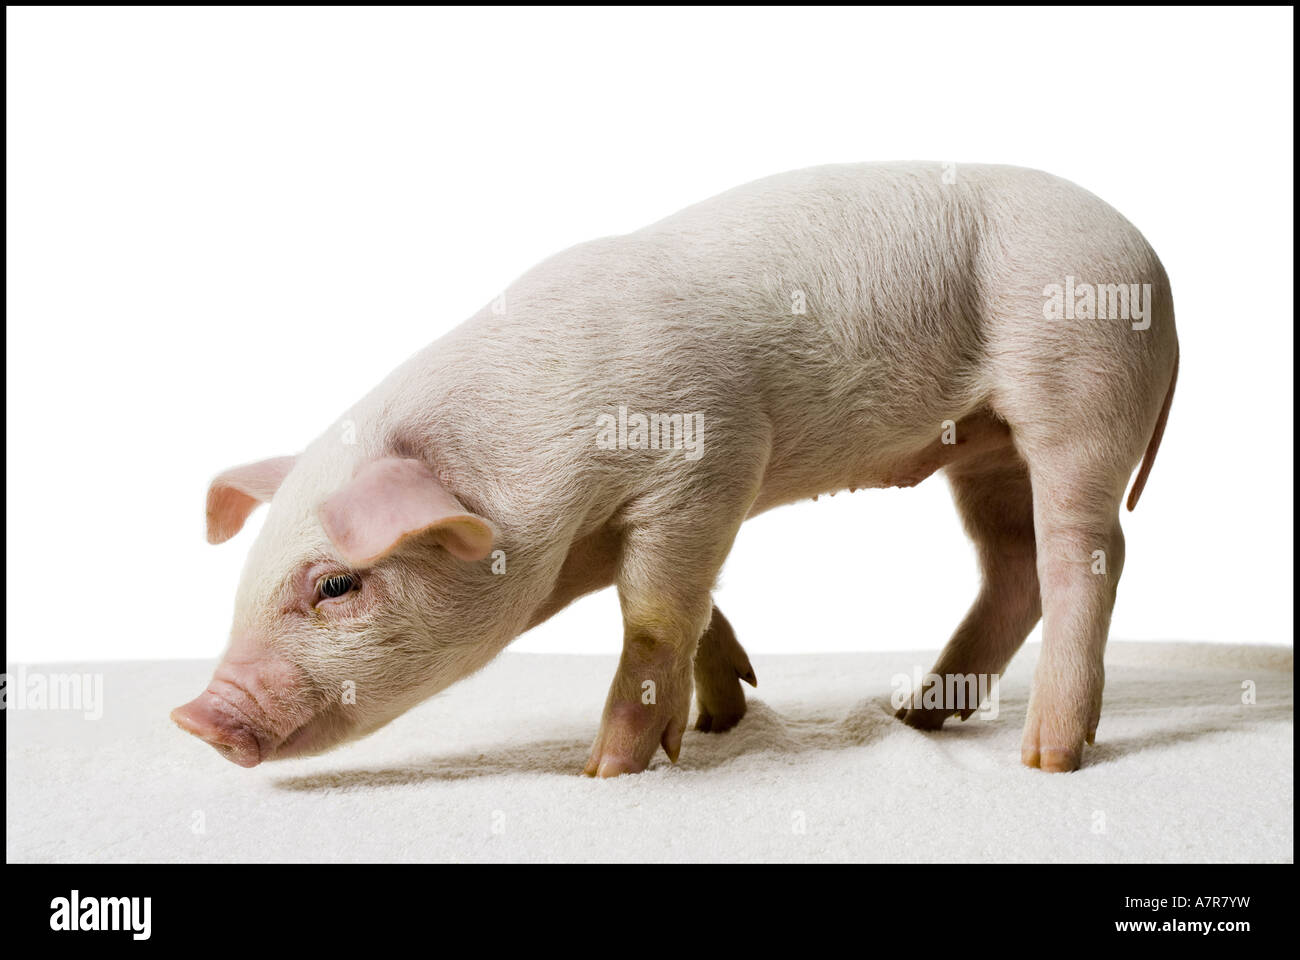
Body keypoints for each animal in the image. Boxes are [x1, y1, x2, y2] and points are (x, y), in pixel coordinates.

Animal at [173, 162, 1178, 776]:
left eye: (335, 584)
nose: (195, 717)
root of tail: (1154, 266)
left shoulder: (710, 456)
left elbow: (655, 610)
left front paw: (608, 768)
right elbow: (694, 607)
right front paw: (724, 717)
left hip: (1079, 391)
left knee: (1087, 554)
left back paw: (1046, 757)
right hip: (987, 444)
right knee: (1013, 565)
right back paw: (912, 716)